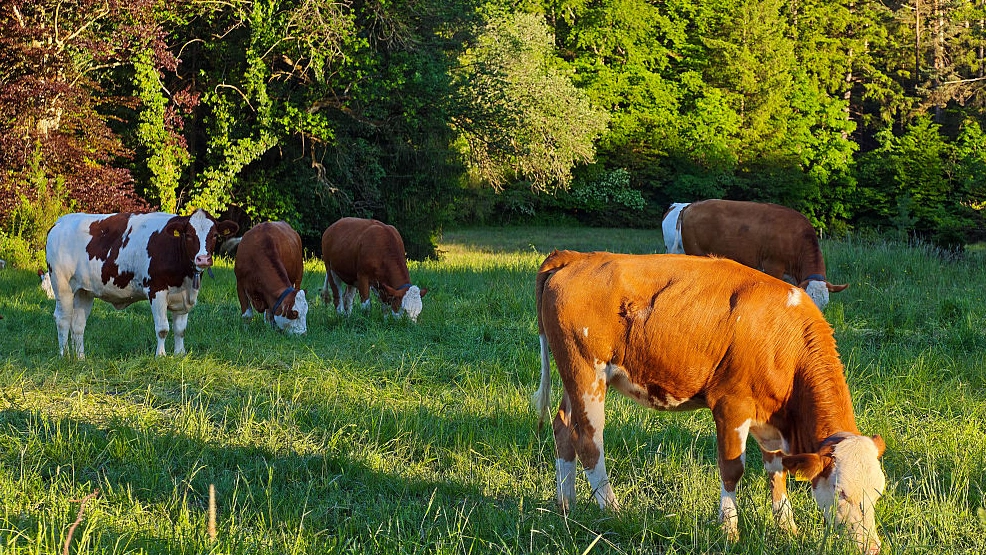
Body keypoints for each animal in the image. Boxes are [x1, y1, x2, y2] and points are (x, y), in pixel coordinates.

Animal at [45, 209, 238, 358]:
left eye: (214, 235)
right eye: (189, 235)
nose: (203, 259)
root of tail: (61, 222)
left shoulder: (184, 297)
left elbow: (180, 329)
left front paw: (179, 355)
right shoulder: (156, 290)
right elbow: (163, 328)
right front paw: (161, 356)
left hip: (84, 291)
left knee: (78, 324)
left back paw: (80, 358)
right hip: (62, 285)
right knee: (62, 319)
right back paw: (64, 356)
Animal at [533, 250, 886, 553]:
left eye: (878, 492)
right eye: (842, 492)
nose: (870, 547)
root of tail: (577, 257)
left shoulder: (771, 420)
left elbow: (777, 470)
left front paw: (787, 528)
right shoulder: (731, 406)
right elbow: (732, 470)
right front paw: (729, 531)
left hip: (571, 374)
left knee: (563, 429)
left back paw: (566, 505)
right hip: (585, 372)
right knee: (588, 442)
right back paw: (613, 511)